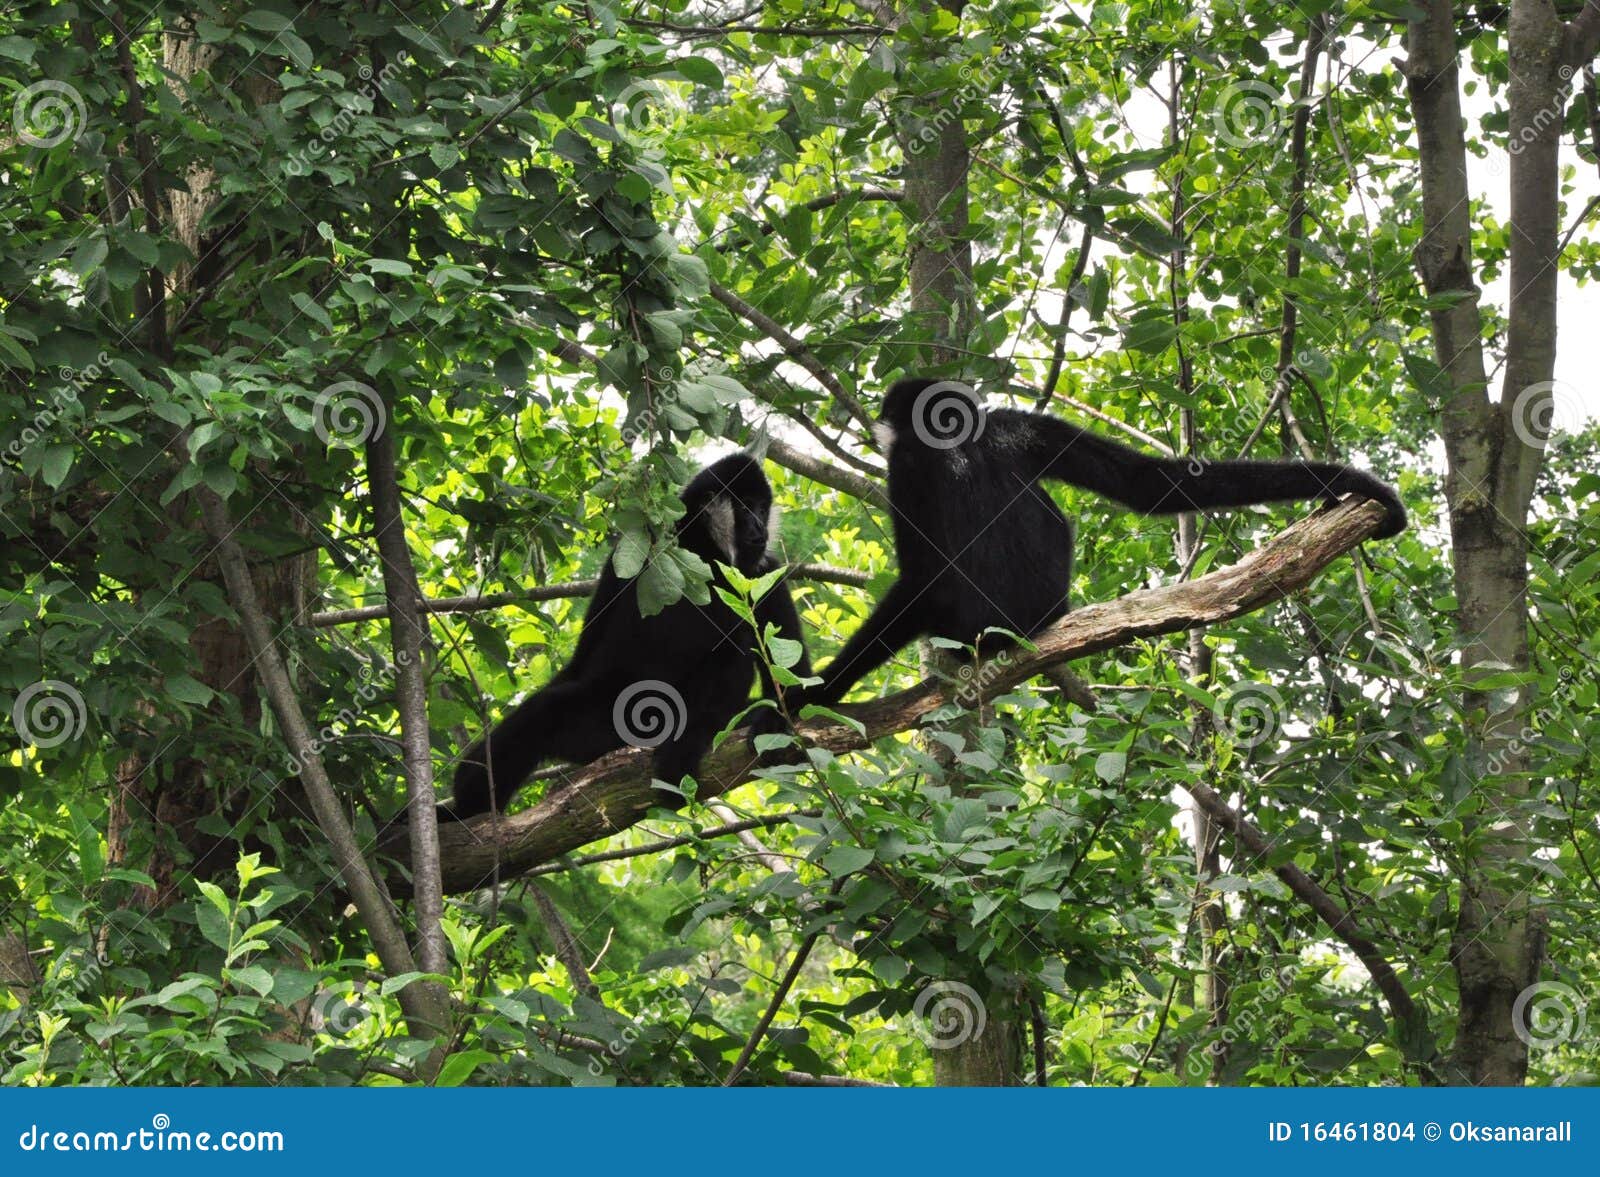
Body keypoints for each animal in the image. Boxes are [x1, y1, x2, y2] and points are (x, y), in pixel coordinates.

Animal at [443, 453, 811, 820]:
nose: (761, 528)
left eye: (762, 508)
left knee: (734, 651)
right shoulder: (629, 550)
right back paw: (467, 810)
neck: (702, 550)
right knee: (542, 714)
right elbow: (579, 661)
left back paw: (692, 737)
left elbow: (794, 682)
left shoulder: (766, 571)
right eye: (747, 508)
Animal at [785, 377, 1406, 712]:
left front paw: (816, 692)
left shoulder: (908, 470)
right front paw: (1354, 482)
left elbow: (918, 580)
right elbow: (1153, 484)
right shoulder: (1019, 425)